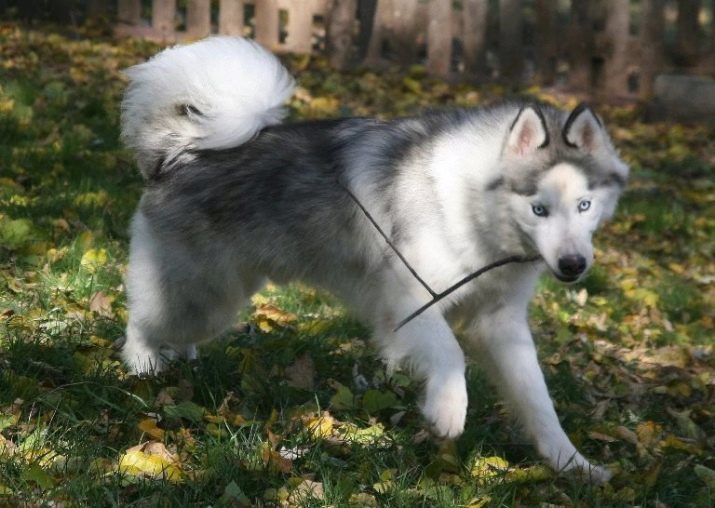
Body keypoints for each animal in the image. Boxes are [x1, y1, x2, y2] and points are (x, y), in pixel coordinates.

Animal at [121, 37, 628, 482]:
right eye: (539, 209)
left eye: (584, 205)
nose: (573, 265)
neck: (476, 212)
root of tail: (179, 153)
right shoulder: (409, 300)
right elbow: (450, 352)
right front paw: (447, 410)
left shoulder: (500, 323)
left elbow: (539, 401)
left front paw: (573, 464)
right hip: (200, 294)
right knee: (142, 322)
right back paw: (144, 365)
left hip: (216, 300)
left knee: (177, 331)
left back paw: (182, 358)